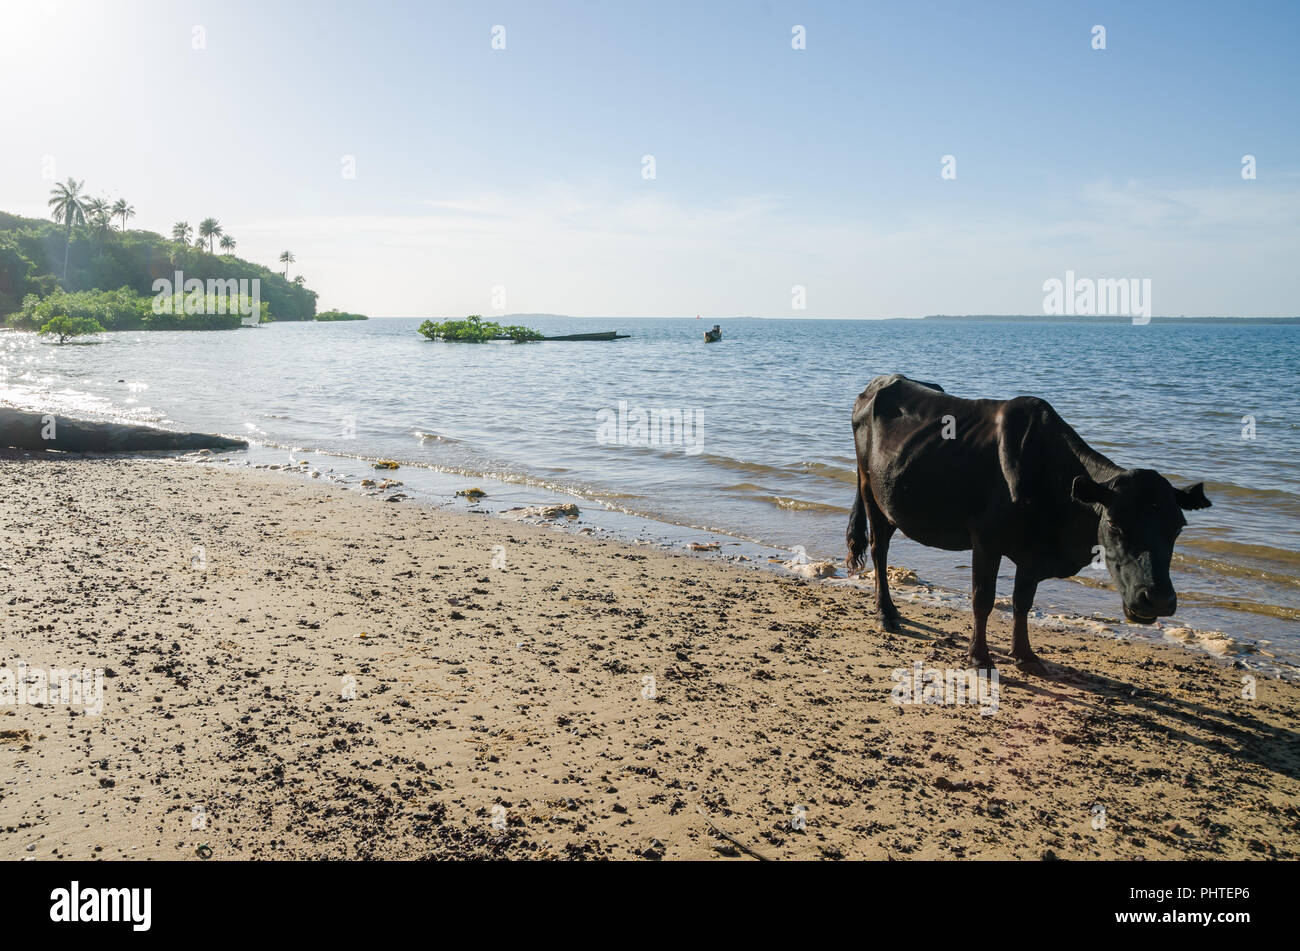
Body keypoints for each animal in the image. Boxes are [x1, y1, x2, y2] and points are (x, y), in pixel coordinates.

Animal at [846, 374, 1210, 673]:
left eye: (1177, 527)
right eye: (1115, 524)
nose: (1159, 599)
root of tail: (879, 383)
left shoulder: (1033, 553)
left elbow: (1023, 601)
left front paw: (1025, 655)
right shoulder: (986, 539)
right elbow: (983, 598)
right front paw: (979, 657)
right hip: (869, 490)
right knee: (879, 550)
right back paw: (885, 613)